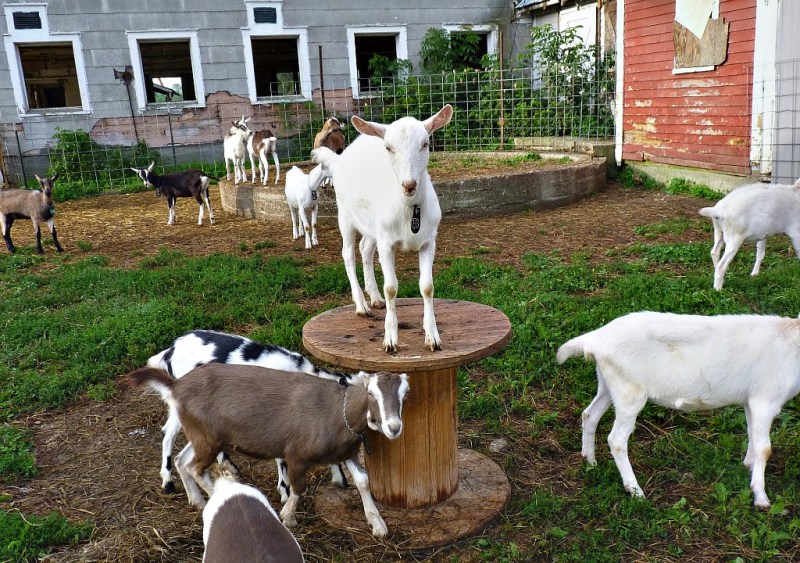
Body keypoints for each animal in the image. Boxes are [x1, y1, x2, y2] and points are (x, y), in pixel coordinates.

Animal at [127, 364, 409, 537]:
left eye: (405, 394)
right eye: (371, 393)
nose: (394, 427)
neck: (339, 412)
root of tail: (175, 386)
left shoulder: (347, 452)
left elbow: (363, 481)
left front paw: (378, 524)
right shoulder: (296, 456)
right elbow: (298, 487)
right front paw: (288, 517)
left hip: (203, 435)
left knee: (182, 460)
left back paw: (197, 501)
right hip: (206, 439)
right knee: (195, 467)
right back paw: (212, 495)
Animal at [312, 104, 453, 353]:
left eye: (425, 143)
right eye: (388, 147)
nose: (409, 184)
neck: (410, 210)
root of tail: (339, 159)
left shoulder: (428, 241)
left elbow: (427, 287)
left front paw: (432, 337)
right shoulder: (387, 244)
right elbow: (391, 288)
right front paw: (390, 339)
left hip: (373, 227)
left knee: (365, 248)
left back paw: (375, 298)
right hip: (345, 213)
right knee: (348, 253)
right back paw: (362, 305)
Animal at [557, 310, 800, 508]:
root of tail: (595, 339)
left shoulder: (751, 399)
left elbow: (752, 435)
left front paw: (747, 465)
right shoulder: (765, 400)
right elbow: (765, 448)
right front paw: (761, 498)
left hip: (608, 384)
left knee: (590, 415)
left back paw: (589, 460)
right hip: (629, 392)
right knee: (616, 439)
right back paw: (635, 491)